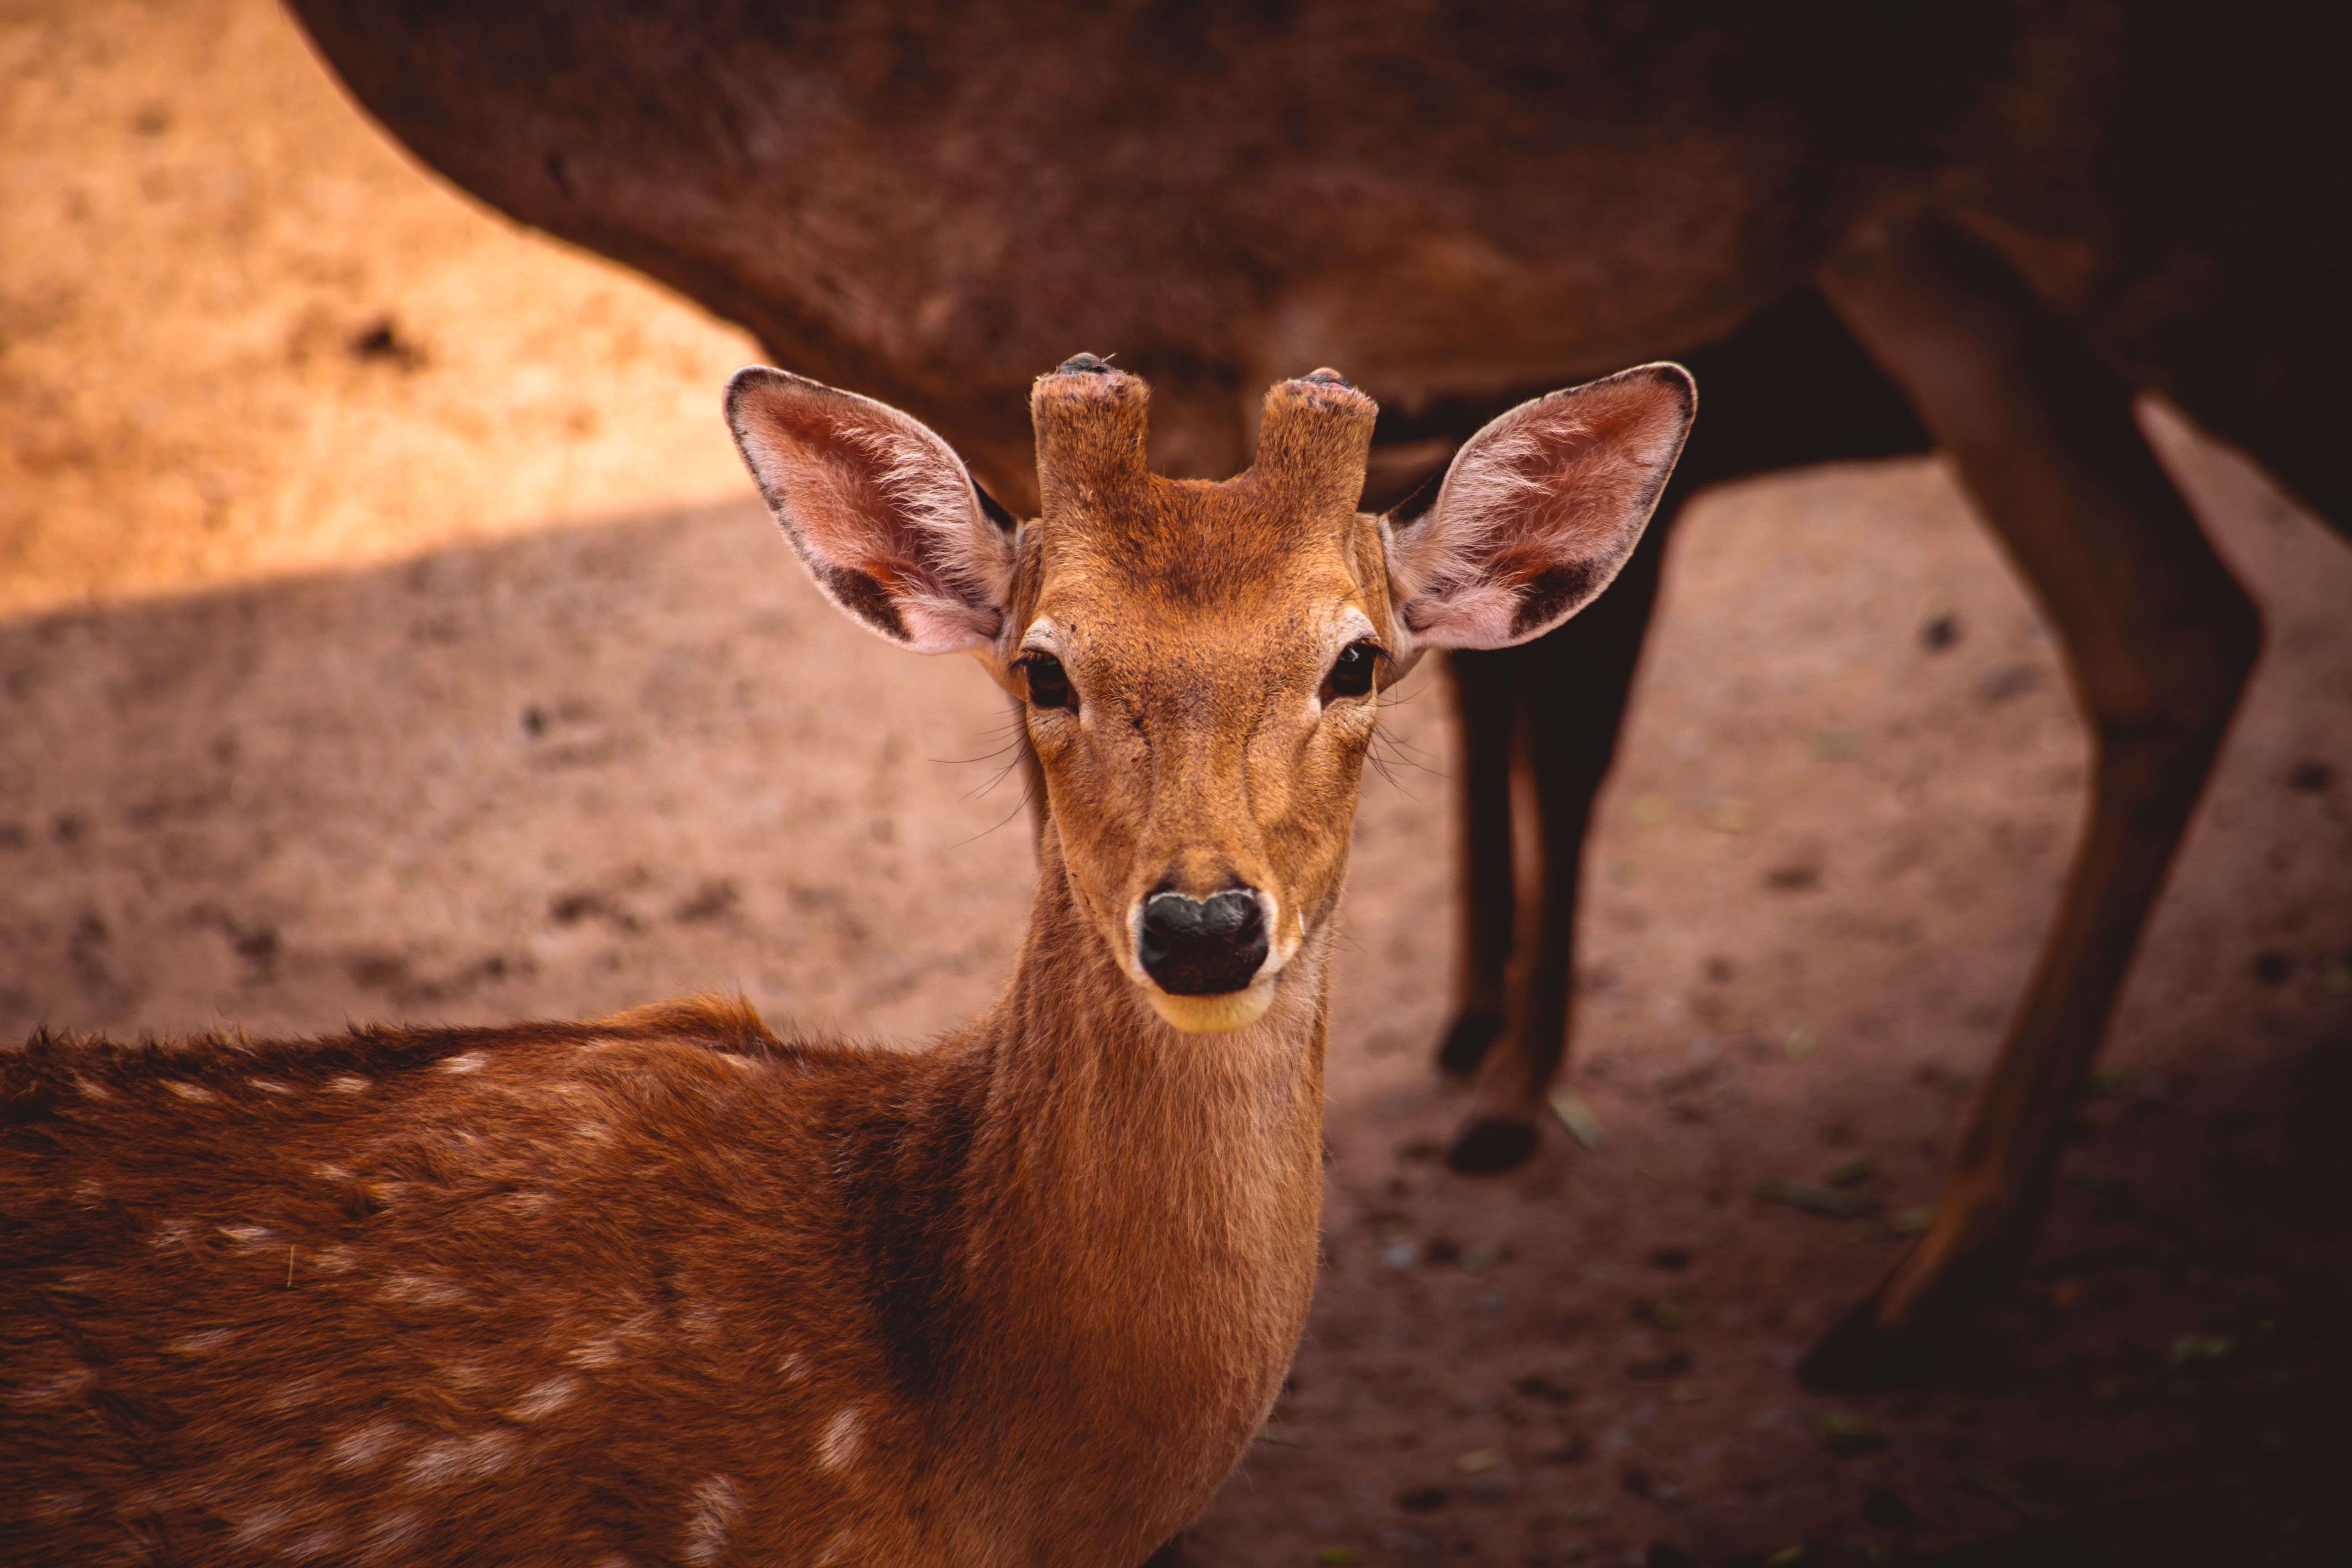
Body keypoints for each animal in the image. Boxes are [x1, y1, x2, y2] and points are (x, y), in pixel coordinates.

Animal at [282, 0, 2352, 1386]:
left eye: (1352, 660)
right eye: (1049, 661)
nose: (1206, 929)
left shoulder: (1157, 295)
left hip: (2158, 192)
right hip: (1932, 245)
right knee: (2170, 623)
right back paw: (1924, 1281)